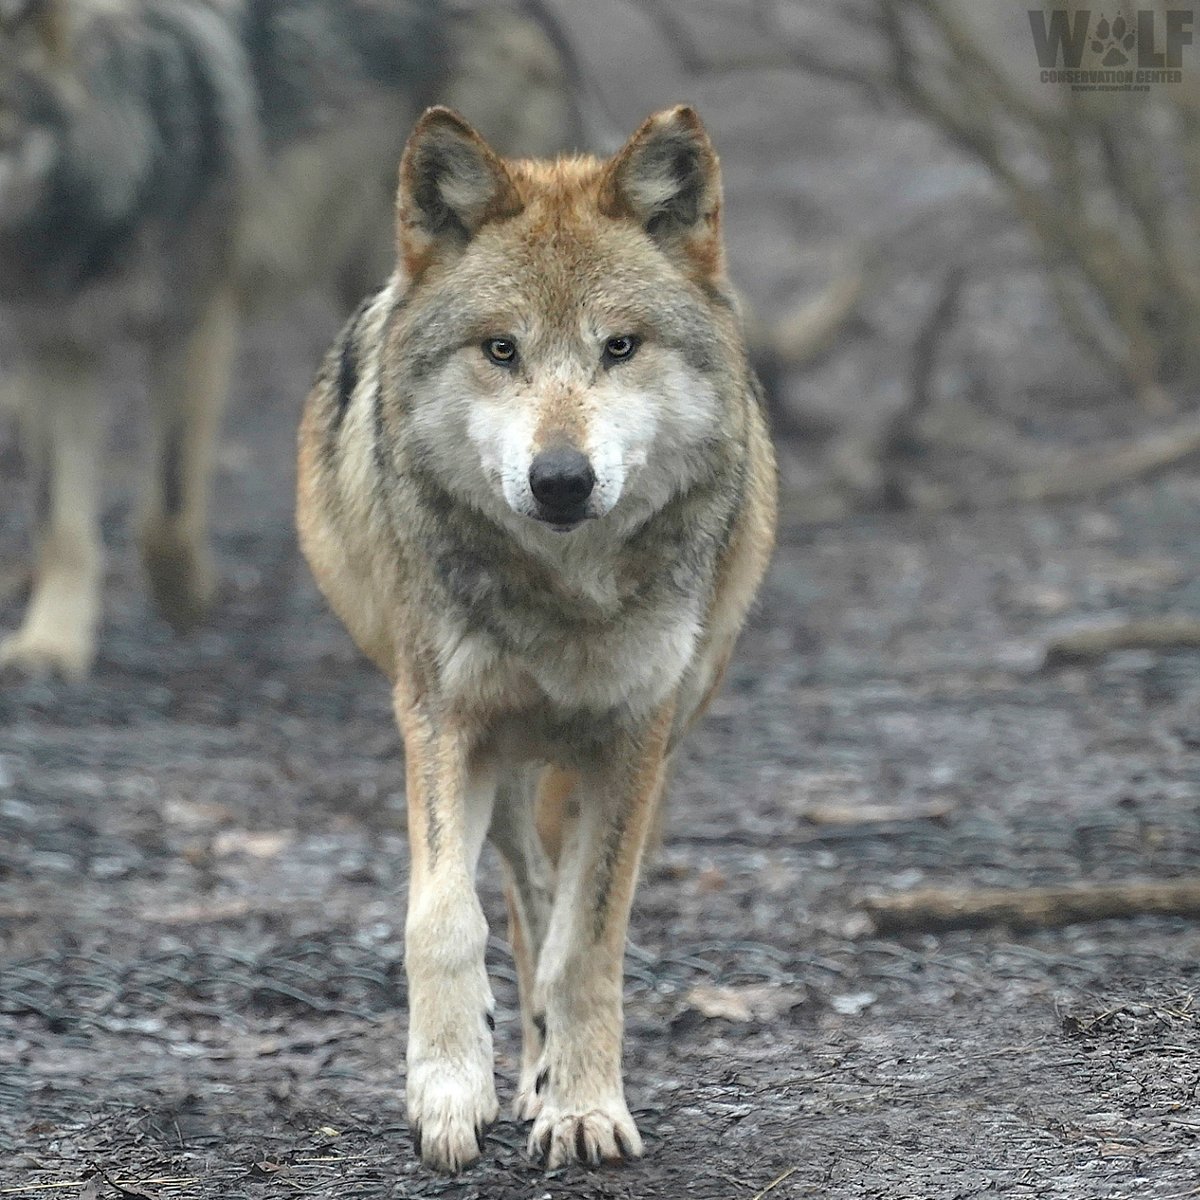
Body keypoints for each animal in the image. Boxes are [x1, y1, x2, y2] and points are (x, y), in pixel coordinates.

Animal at [0, 0, 576, 678]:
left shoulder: (193, 326)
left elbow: (164, 513)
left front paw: (188, 602)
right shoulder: (53, 351)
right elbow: (59, 524)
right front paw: (50, 644)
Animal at [297, 104, 777, 1171]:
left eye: (620, 347)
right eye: (502, 350)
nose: (561, 481)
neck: (569, 599)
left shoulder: (635, 738)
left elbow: (588, 945)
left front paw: (584, 1104)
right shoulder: (441, 718)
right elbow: (443, 918)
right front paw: (447, 1090)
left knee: (554, 916)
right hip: (506, 758)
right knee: (516, 901)